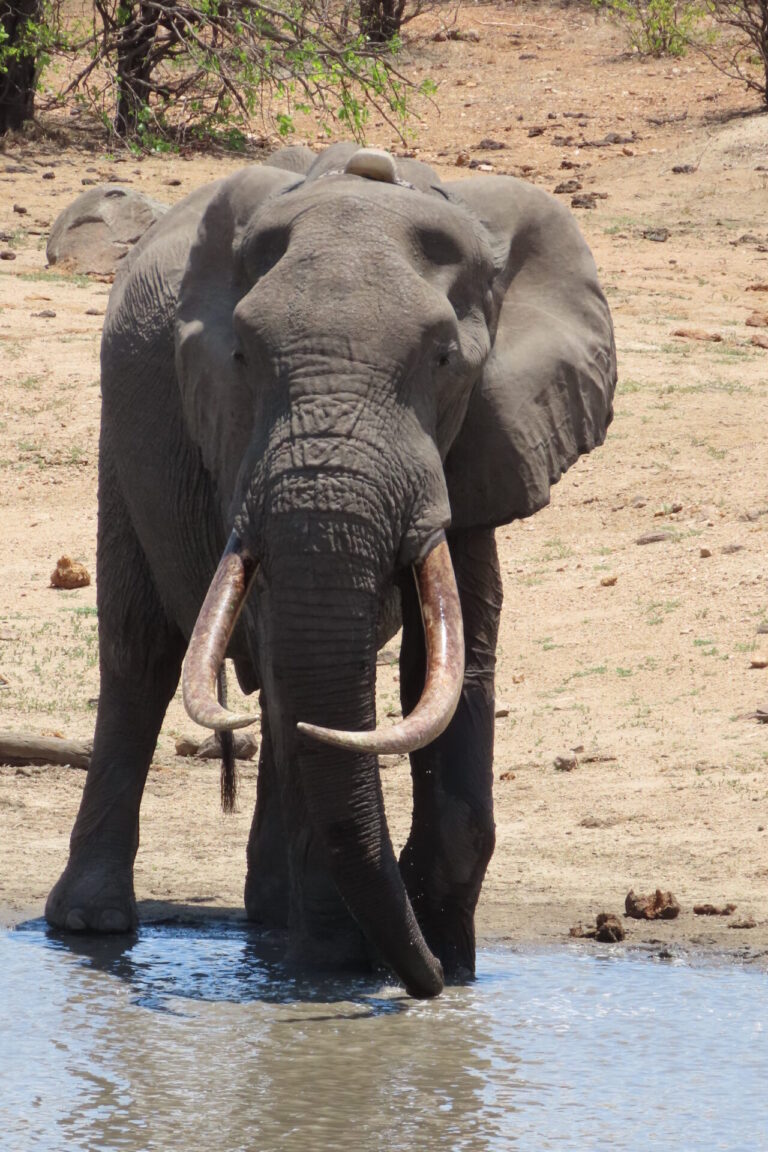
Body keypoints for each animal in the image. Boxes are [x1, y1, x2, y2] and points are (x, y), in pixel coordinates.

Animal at [45, 142, 616, 998]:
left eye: (444, 358)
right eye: (243, 357)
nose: (426, 981)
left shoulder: (488, 434)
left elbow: (453, 658)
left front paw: (447, 967)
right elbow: (290, 656)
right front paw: (341, 976)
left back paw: (270, 921)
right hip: (123, 433)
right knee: (140, 656)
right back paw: (95, 925)